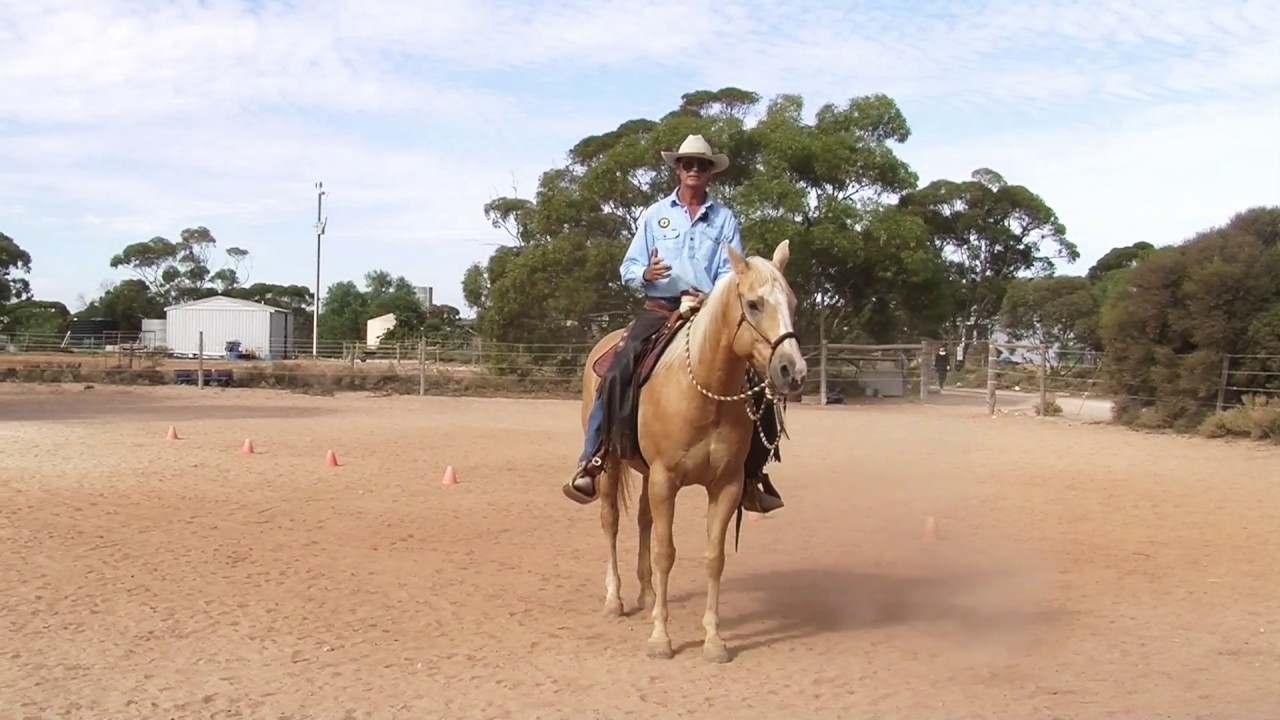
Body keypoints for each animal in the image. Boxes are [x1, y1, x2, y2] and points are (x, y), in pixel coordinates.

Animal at [578, 238, 806, 663]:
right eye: (753, 304)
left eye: (793, 303)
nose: (793, 371)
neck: (704, 392)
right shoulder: (666, 479)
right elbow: (666, 553)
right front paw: (660, 639)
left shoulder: (725, 485)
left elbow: (713, 557)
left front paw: (714, 641)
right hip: (612, 463)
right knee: (611, 521)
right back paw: (615, 600)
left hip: (646, 473)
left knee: (644, 522)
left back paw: (647, 594)